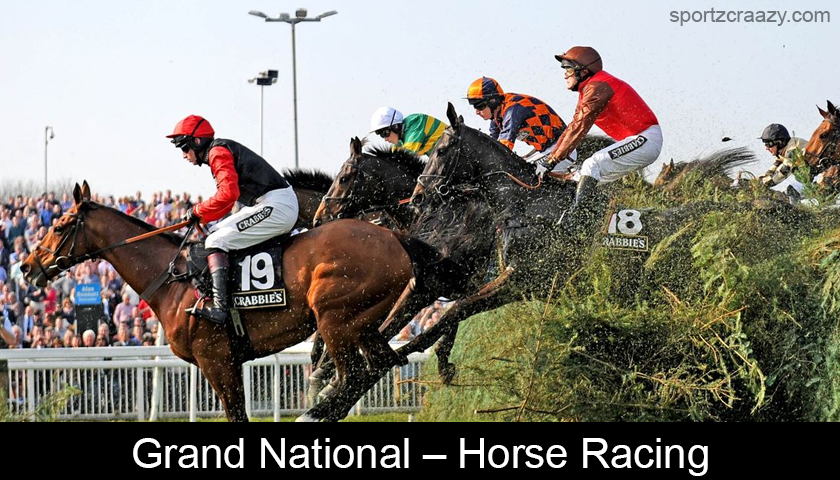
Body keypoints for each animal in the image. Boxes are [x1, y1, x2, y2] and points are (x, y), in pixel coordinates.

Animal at [21, 181, 455, 422]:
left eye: (58, 225)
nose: (26, 267)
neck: (172, 280)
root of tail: (395, 236)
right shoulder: (225, 360)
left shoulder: (216, 358)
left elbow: (237, 414)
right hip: (364, 323)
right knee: (379, 366)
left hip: (335, 318)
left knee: (351, 377)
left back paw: (312, 415)